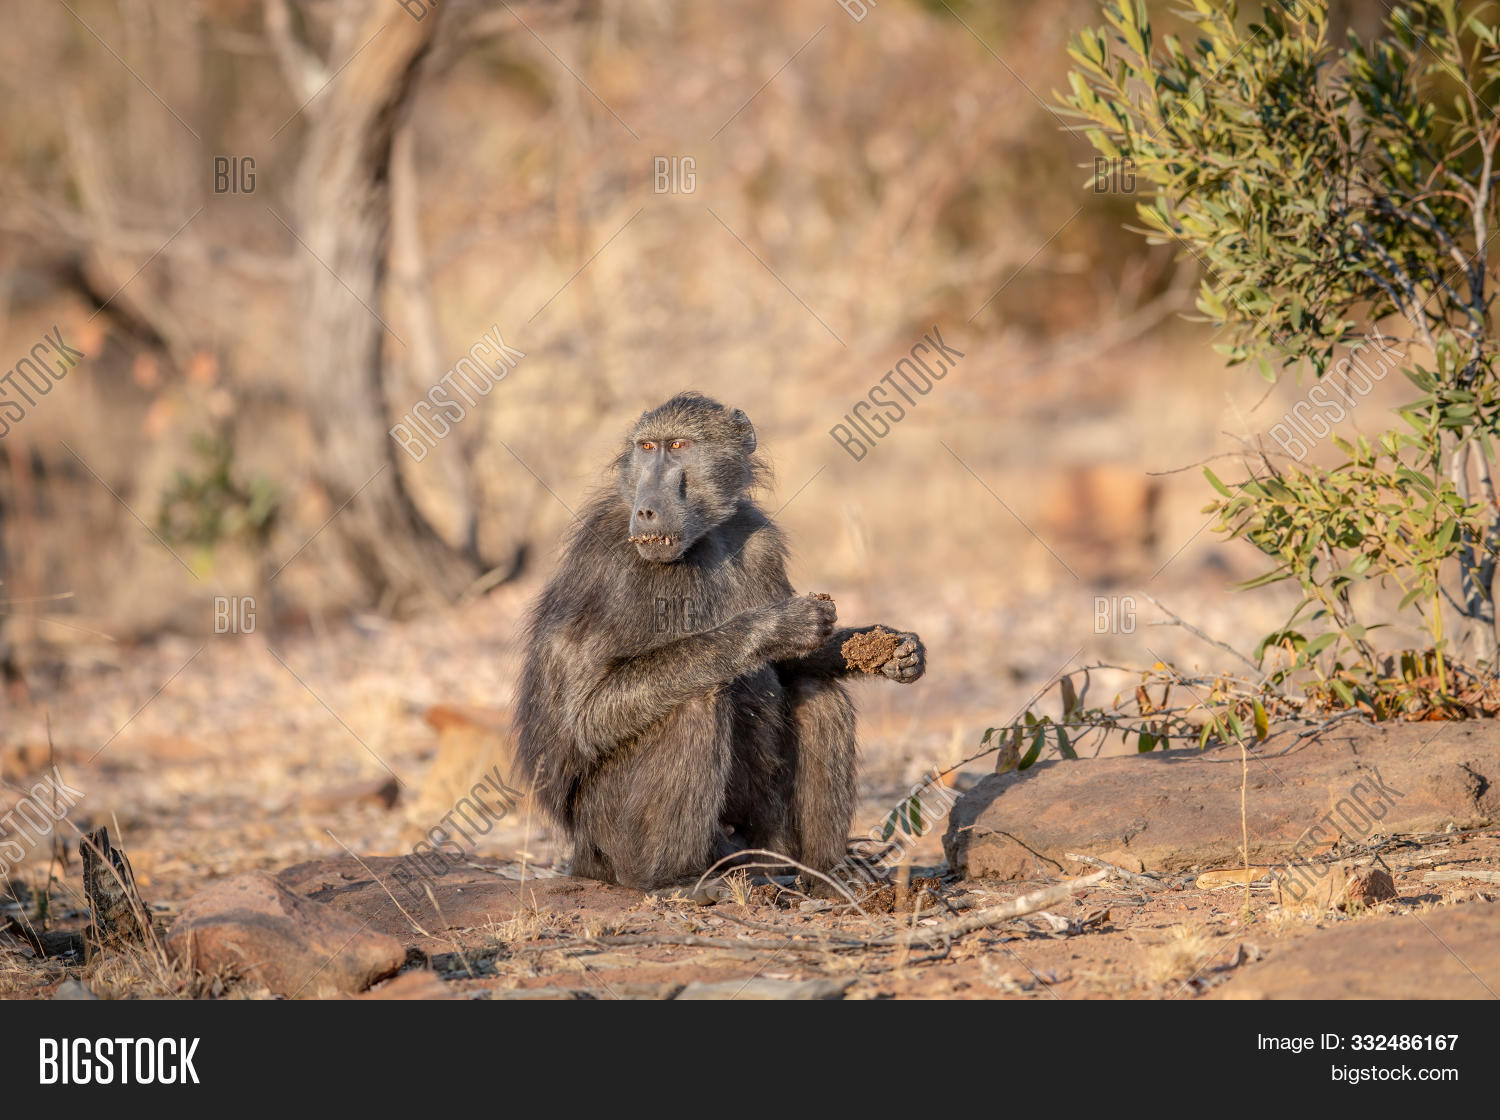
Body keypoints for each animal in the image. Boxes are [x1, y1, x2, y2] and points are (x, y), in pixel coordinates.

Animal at [514, 391, 925, 890]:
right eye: (646, 448)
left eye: (678, 446)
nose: (646, 510)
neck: (704, 535)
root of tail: (580, 854)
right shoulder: (613, 558)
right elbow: (587, 714)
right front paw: (773, 626)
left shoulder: (759, 538)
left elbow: (792, 667)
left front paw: (896, 652)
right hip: (605, 834)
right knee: (694, 702)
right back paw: (672, 879)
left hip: (762, 837)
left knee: (818, 695)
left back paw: (828, 872)